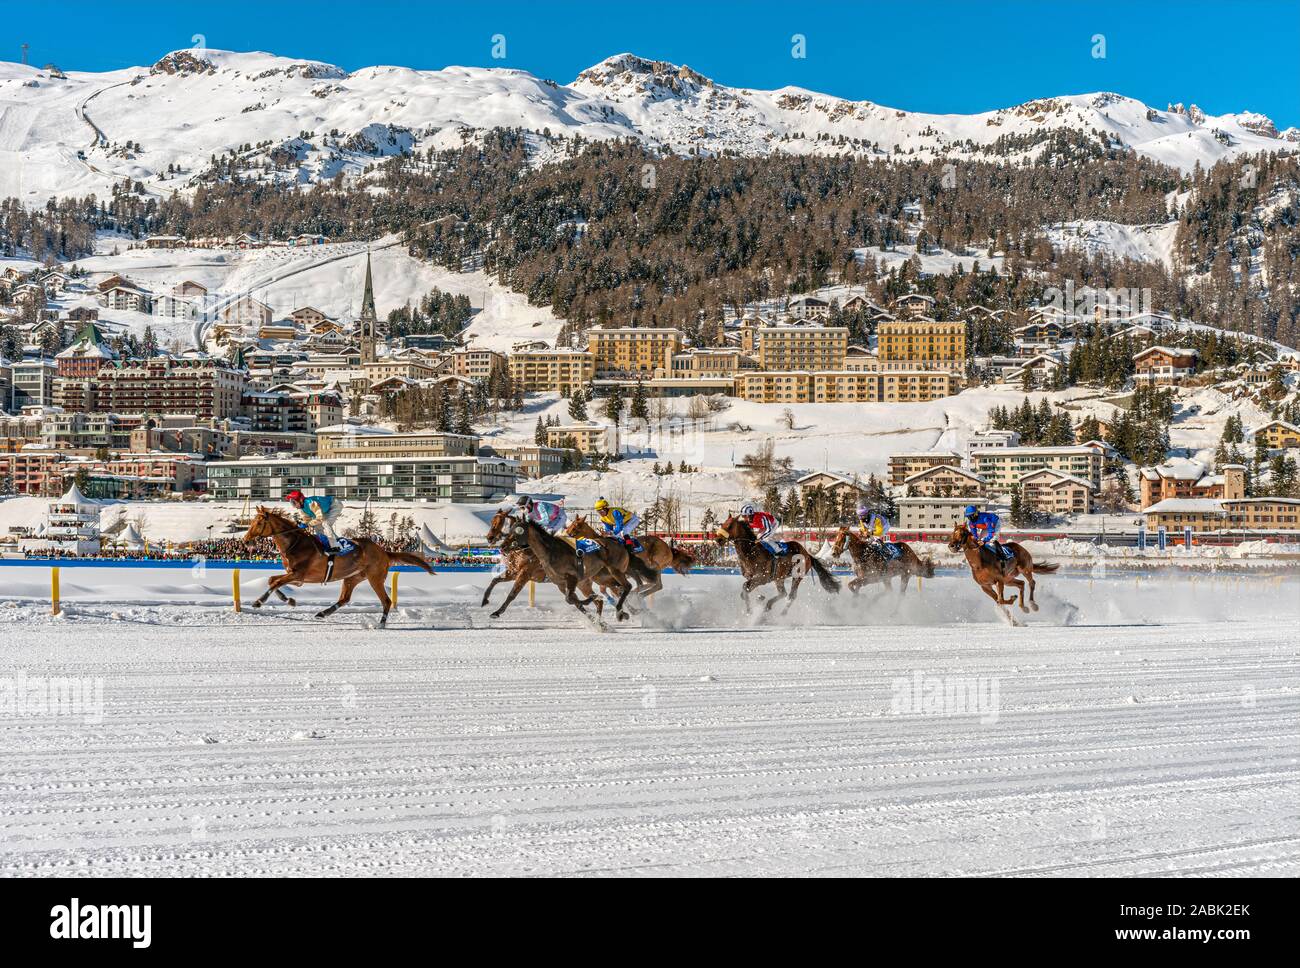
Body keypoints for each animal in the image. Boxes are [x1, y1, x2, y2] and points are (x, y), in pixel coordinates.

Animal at [242, 506, 434, 626]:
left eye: (259, 522)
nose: (245, 539)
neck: (295, 543)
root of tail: (384, 551)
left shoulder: (298, 575)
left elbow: (275, 582)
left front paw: (259, 601)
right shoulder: (296, 577)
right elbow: (272, 580)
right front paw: (289, 600)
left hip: (375, 578)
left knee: (386, 601)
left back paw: (381, 624)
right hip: (352, 577)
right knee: (344, 598)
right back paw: (322, 613)